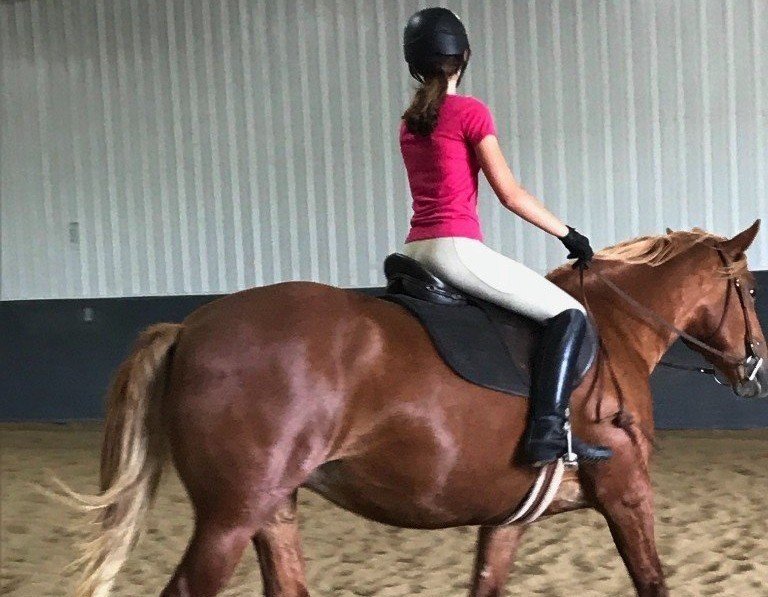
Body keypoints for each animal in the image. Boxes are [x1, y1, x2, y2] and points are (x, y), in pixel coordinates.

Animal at [64, 221, 767, 597]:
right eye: (749, 287)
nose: (755, 365)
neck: (615, 331)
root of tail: (188, 326)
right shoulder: (626, 491)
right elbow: (653, 580)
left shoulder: (509, 517)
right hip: (229, 516)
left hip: (270, 507)